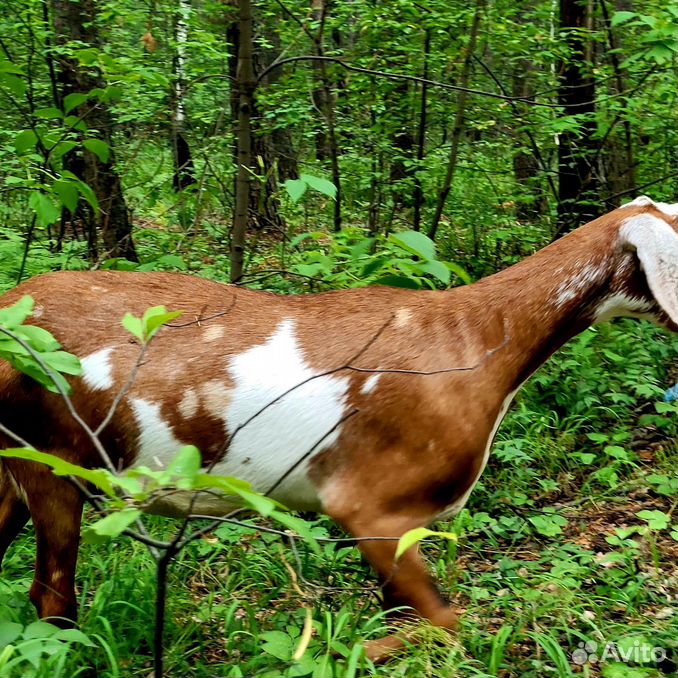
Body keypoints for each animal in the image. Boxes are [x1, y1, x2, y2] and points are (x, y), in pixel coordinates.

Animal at [0, 194, 676, 660]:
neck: (479, 341)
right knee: (51, 594)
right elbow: (443, 622)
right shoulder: (371, 504)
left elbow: (409, 616)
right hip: (50, 458)